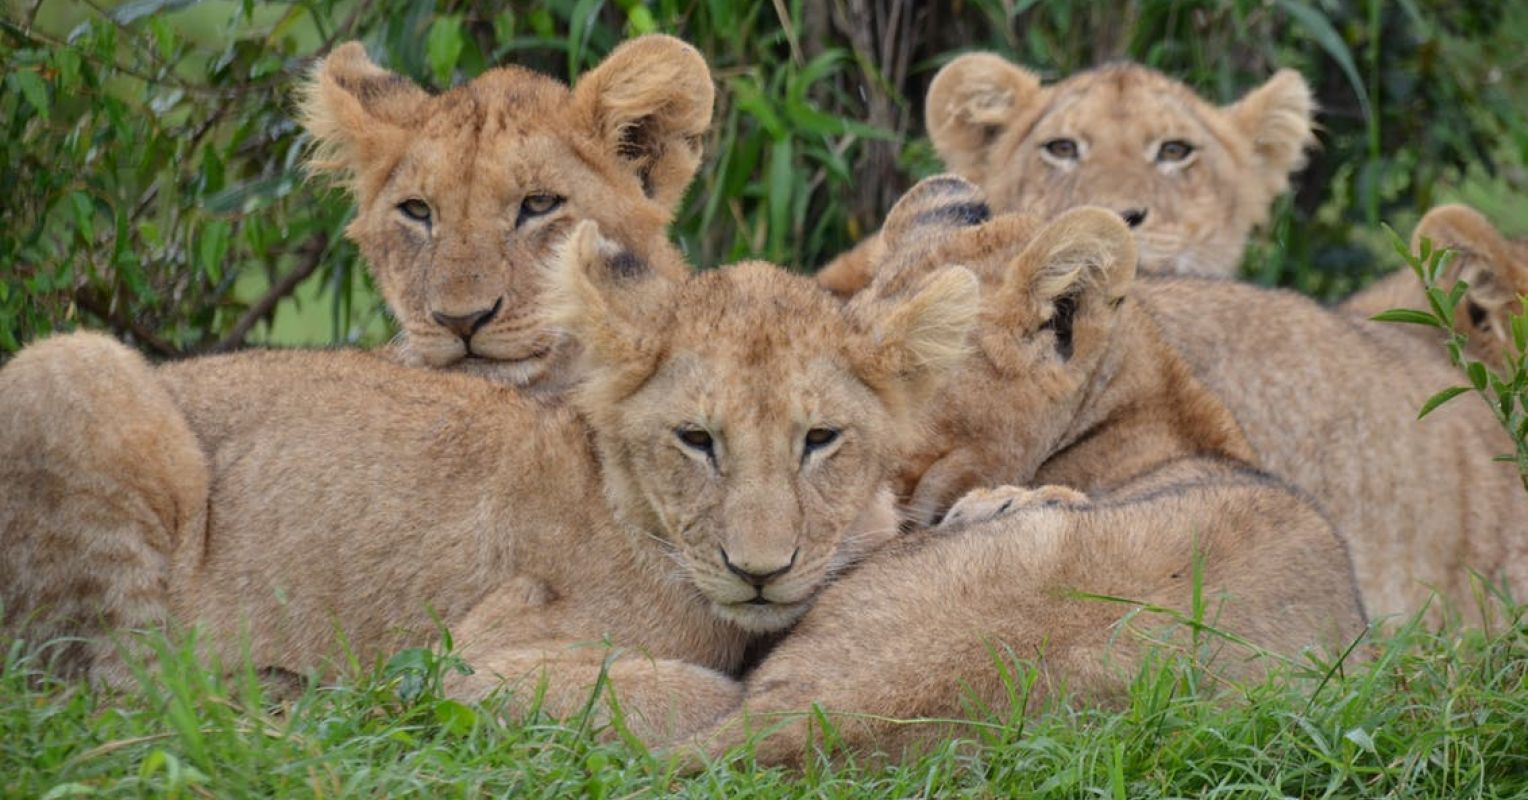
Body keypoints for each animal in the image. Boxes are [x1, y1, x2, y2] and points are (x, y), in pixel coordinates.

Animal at [0, 221, 979, 743]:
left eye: (821, 440)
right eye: (697, 440)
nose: (760, 570)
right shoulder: (468, 660)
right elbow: (688, 689)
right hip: (75, 364)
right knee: (111, 686)